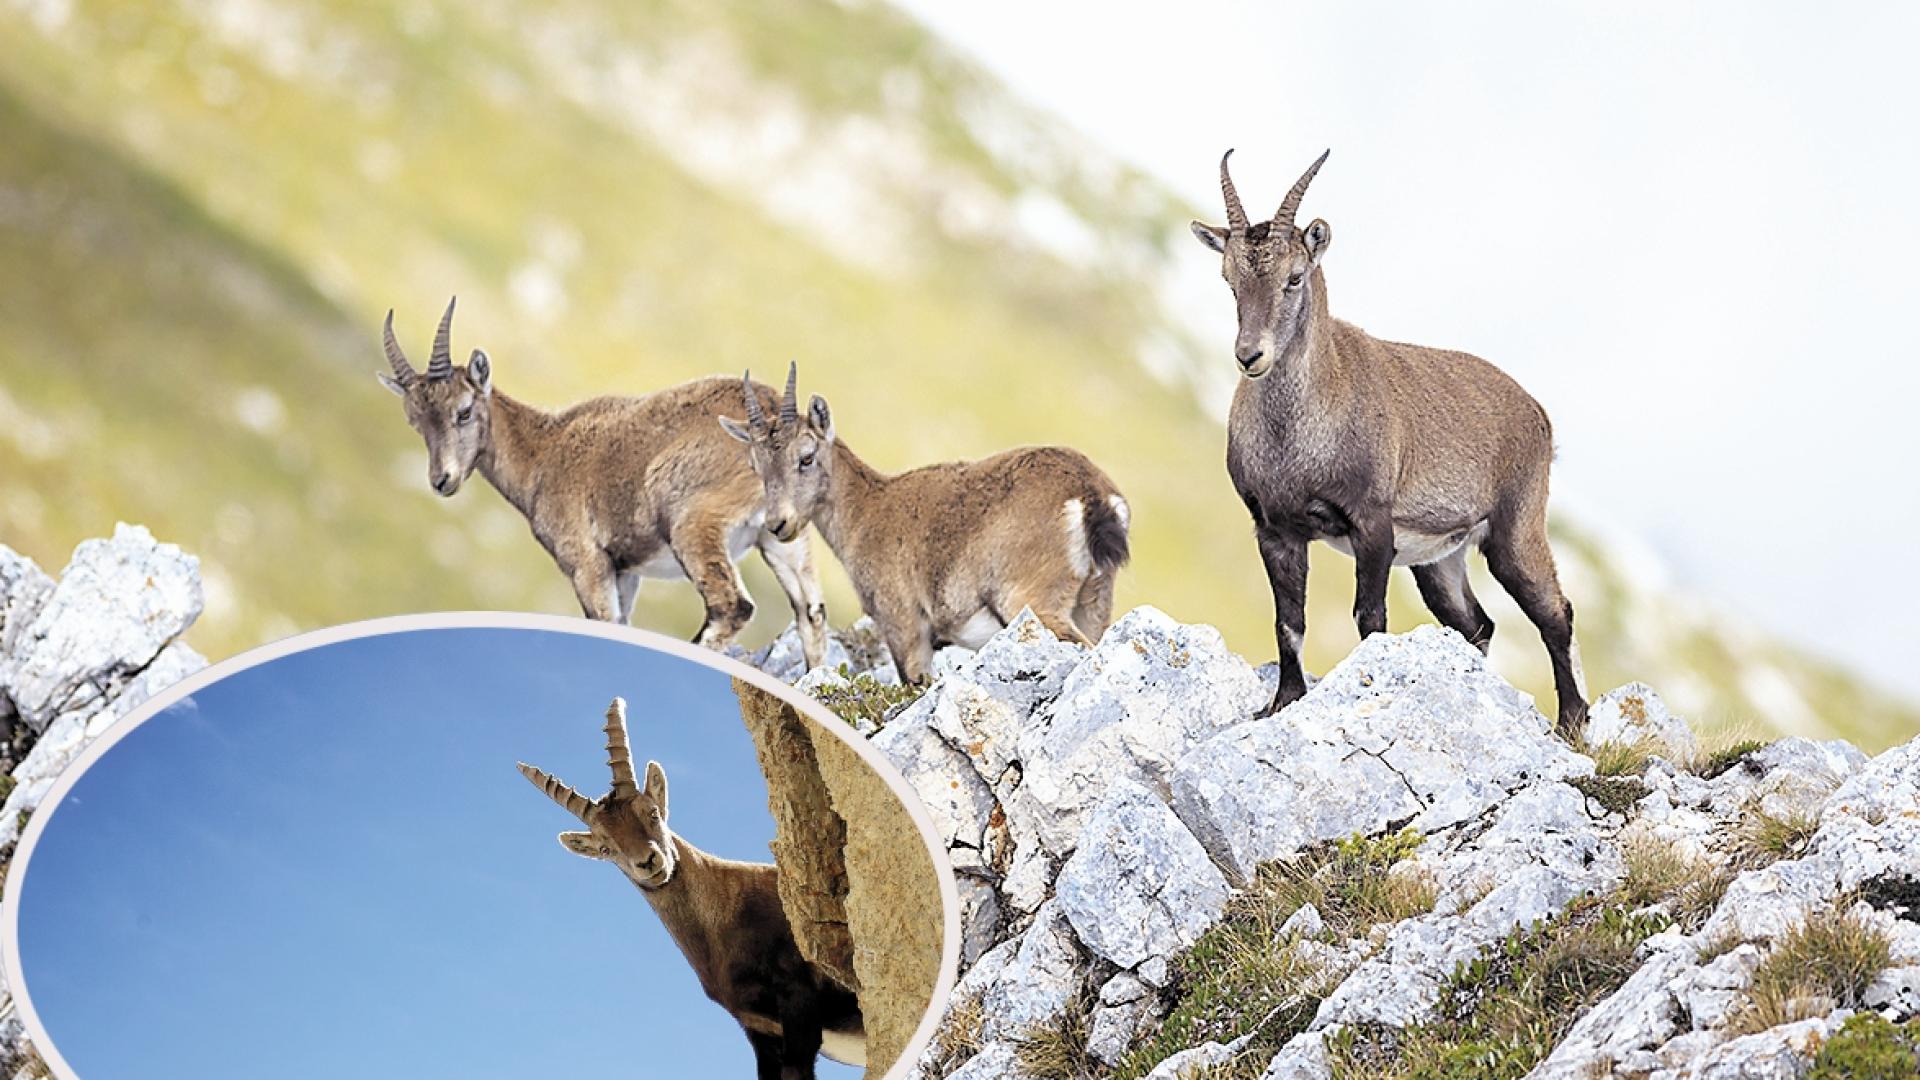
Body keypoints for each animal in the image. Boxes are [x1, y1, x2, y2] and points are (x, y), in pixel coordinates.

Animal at [378, 299, 826, 668]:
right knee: (811, 611)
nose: (442, 480)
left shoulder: (587, 563)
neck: (543, 452)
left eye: (464, 411)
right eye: (415, 421)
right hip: (783, 534)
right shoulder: (625, 570)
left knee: (733, 606)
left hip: (693, 524)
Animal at [519, 698, 863, 1079]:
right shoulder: (758, 1026)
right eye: (606, 848)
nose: (649, 862)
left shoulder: (798, 1003)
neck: (722, 928)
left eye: (652, 813)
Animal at [719, 364, 1130, 684]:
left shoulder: (904, 625)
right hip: (1093, 601)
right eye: (757, 466)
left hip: (1029, 598)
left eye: (806, 457)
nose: (779, 524)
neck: (867, 509)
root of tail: (1092, 495)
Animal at [1191, 150, 1589, 737]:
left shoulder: (1372, 522)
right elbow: (1289, 621)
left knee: (1556, 613)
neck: (1298, 438)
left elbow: (1370, 617)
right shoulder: (1274, 528)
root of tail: (1538, 415)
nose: (1249, 356)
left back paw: (1573, 722)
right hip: (1439, 559)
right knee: (1477, 623)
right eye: (1228, 278)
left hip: (1514, 531)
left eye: (1294, 277)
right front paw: (1283, 701)